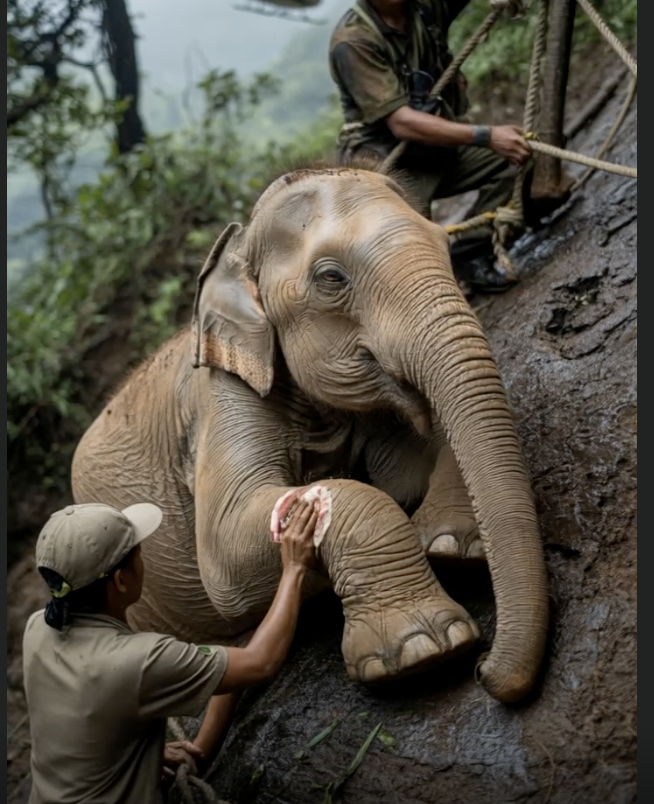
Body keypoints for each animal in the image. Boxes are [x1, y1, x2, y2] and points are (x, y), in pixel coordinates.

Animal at [71, 162, 549, 703]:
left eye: (445, 245)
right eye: (331, 278)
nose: (485, 673)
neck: (238, 250)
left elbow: (409, 471)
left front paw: (453, 549)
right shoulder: (224, 398)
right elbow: (226, 558)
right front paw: (424, 652)